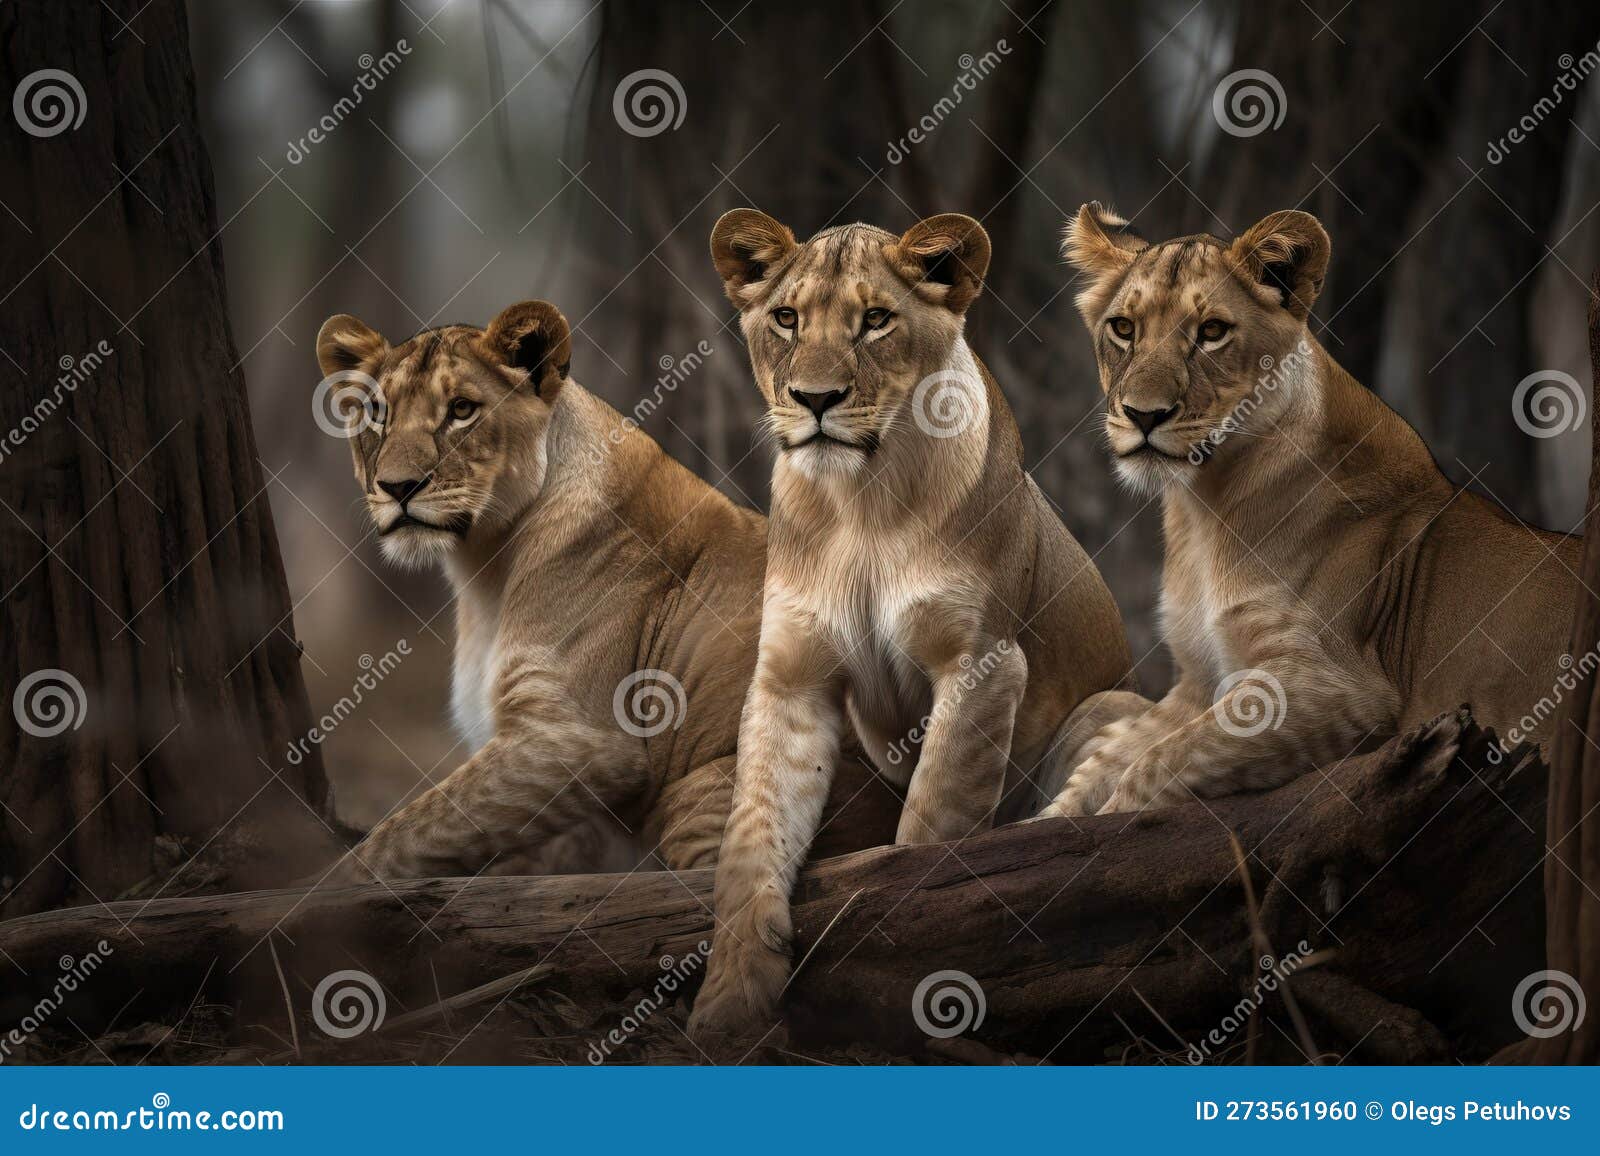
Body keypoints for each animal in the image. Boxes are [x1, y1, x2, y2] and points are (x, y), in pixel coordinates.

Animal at [312, 301, 899, 880]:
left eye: (461, 409)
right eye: (377, 414)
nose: (397, 487)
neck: (483, 568)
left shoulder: (579, 743)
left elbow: (405, 833)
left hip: (704, 793)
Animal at [687, 211, 1133, 1038]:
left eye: (875, 320)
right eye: (787, 318)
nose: (815, 398)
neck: (860, 498)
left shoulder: (984, 664)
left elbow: (930, 828)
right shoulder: (790, 680)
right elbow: (751, 839)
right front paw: (729, 1005)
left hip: (1108, 706)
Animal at [1038, 204, 1581, 818]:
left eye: (1212, 332)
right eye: (1124, 328)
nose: (1143, 415)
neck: (1204, 508)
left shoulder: (1336, 689)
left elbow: (1158, 764)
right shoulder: (1197, 683)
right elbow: (1101, 767)